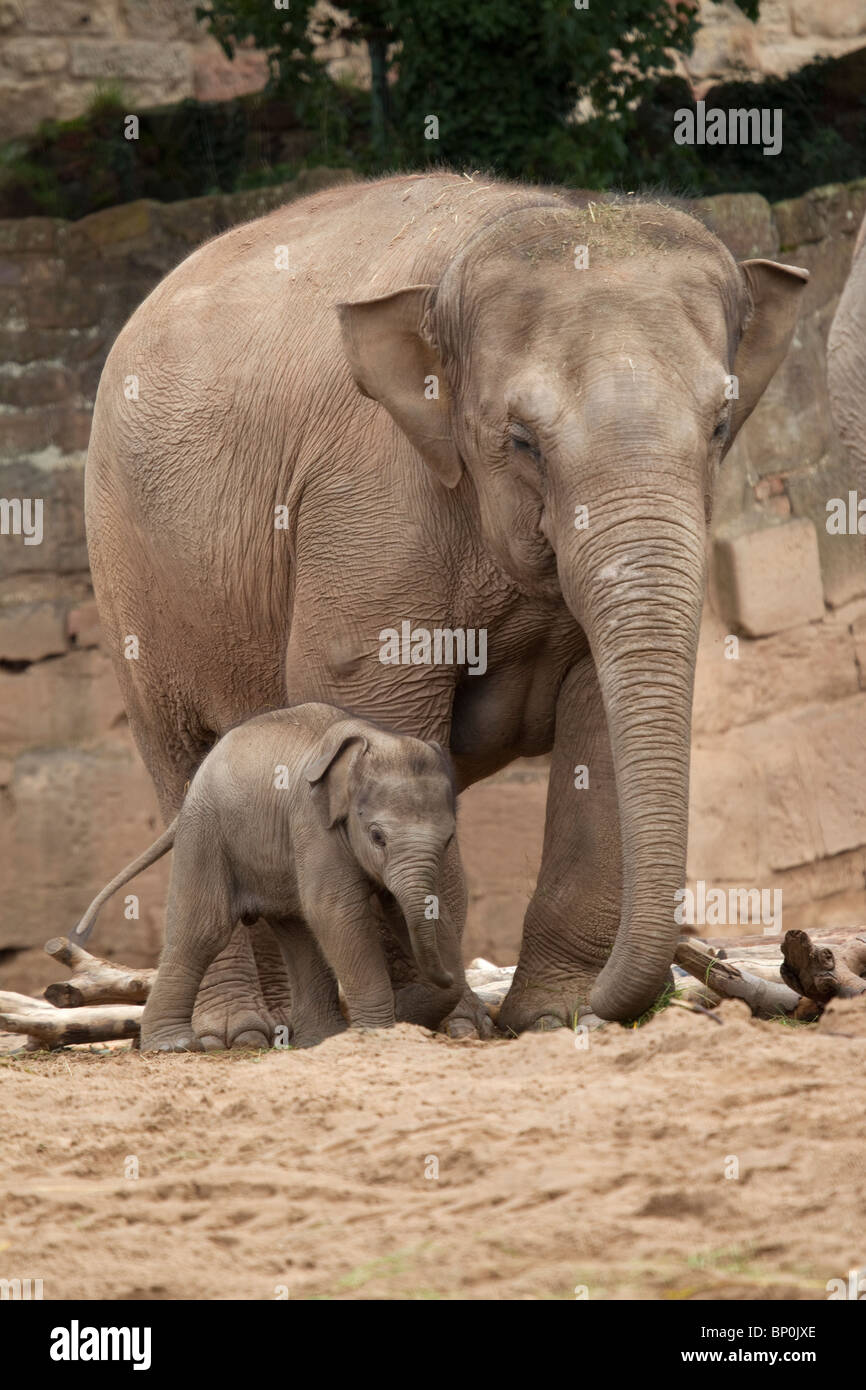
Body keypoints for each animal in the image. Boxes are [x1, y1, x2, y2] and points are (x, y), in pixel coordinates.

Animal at [69, 704, 464, 1050]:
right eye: (378, 836)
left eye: (449, 838)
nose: (445, 975)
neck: (372, 738)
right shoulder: (312, 823)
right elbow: (337, 912)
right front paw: (378, 1038)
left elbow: (417, 909)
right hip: (205, 832)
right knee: (203, 929)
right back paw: (172, 1046)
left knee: (297, 931)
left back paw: (318, 1041)